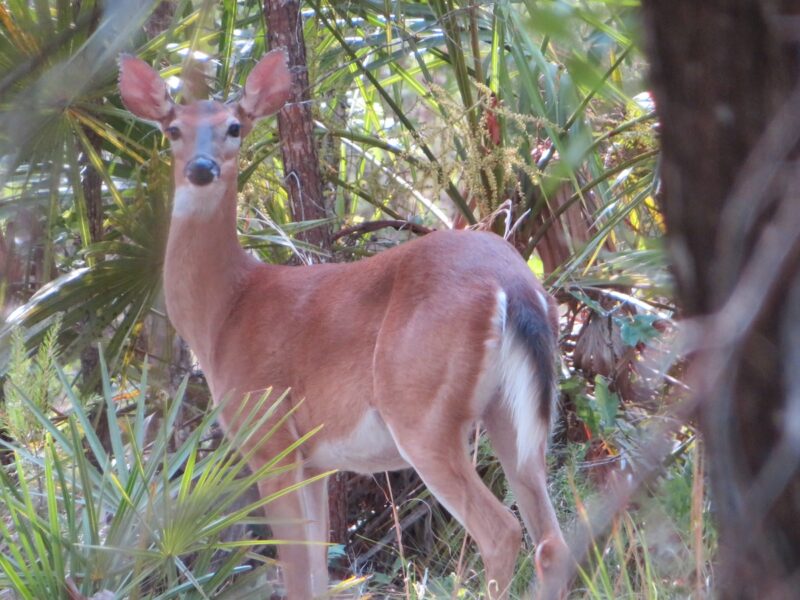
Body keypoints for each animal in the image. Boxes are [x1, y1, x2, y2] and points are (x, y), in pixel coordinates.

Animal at [118, 49, 569, 599]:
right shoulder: (315, 462)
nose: (201, 168)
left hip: (420, 409)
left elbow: (297, 574)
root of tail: (516, 286)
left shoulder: (270, 437)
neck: (225, 311)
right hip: (513, 414)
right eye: (172, 130)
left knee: (502, 531)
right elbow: (317, 572)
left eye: (234, 127)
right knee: (551, 541)